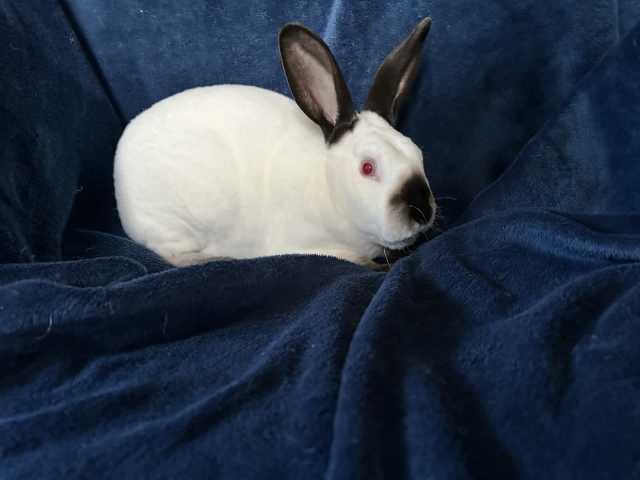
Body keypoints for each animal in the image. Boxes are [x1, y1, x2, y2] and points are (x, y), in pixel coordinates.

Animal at [114, 17, 437, 268]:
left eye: (418, 154)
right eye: (367, 168)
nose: (422, 210)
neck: (328, 187)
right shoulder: (311, 244)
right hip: (175, 223)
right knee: (173, 256)